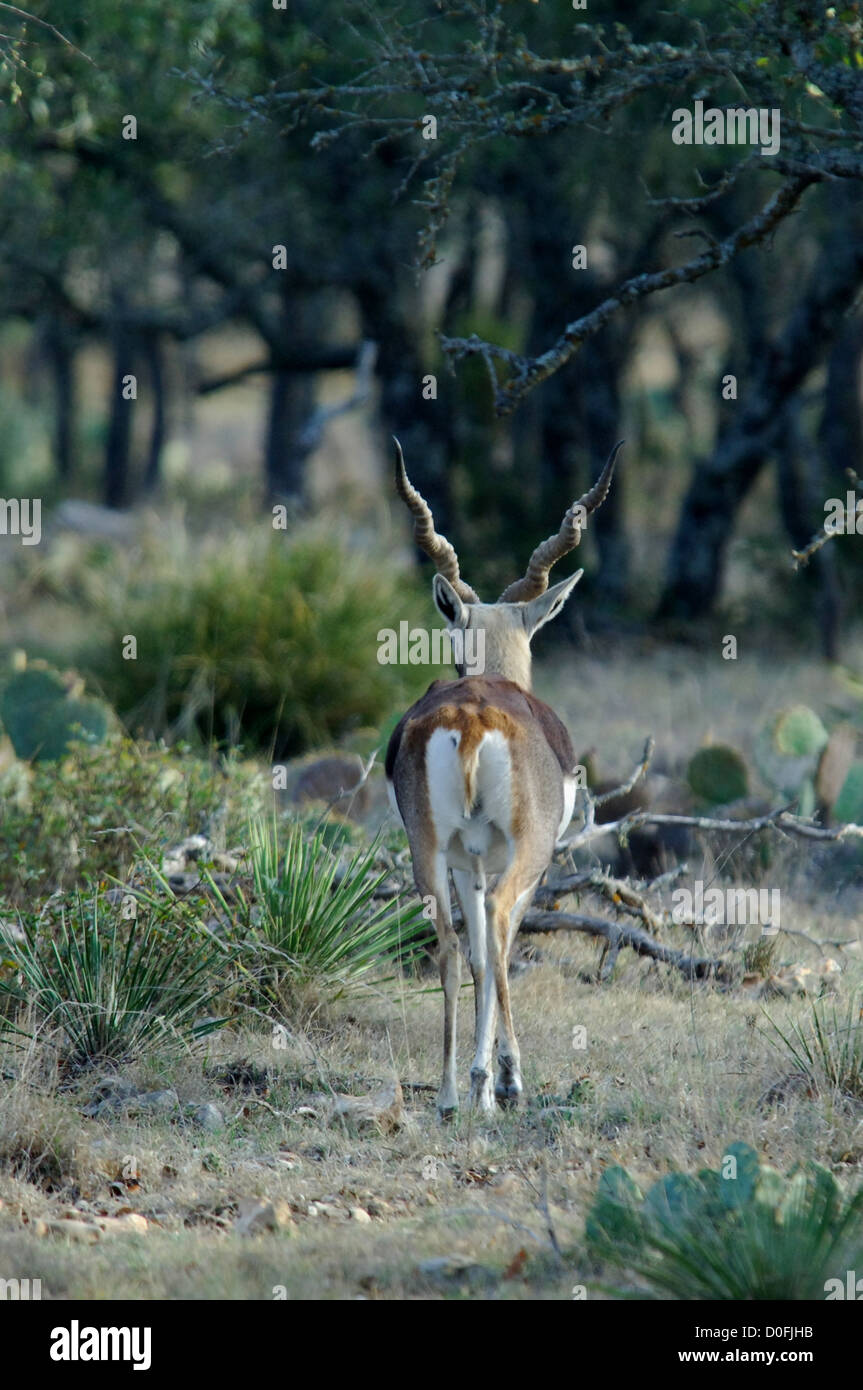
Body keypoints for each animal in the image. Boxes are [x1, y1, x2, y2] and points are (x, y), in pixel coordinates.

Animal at [386, 438, 623, 1118]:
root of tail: (470, 717)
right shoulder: (526, 865)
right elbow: (503, 947)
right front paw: (498, 1076)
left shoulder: (468, 861)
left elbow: (473, 958)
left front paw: (477, 1081)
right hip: (525, 853)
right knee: (494, 930)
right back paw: (500, 1085)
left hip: (428, 851)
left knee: (448, 945)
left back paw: (446, 1096)